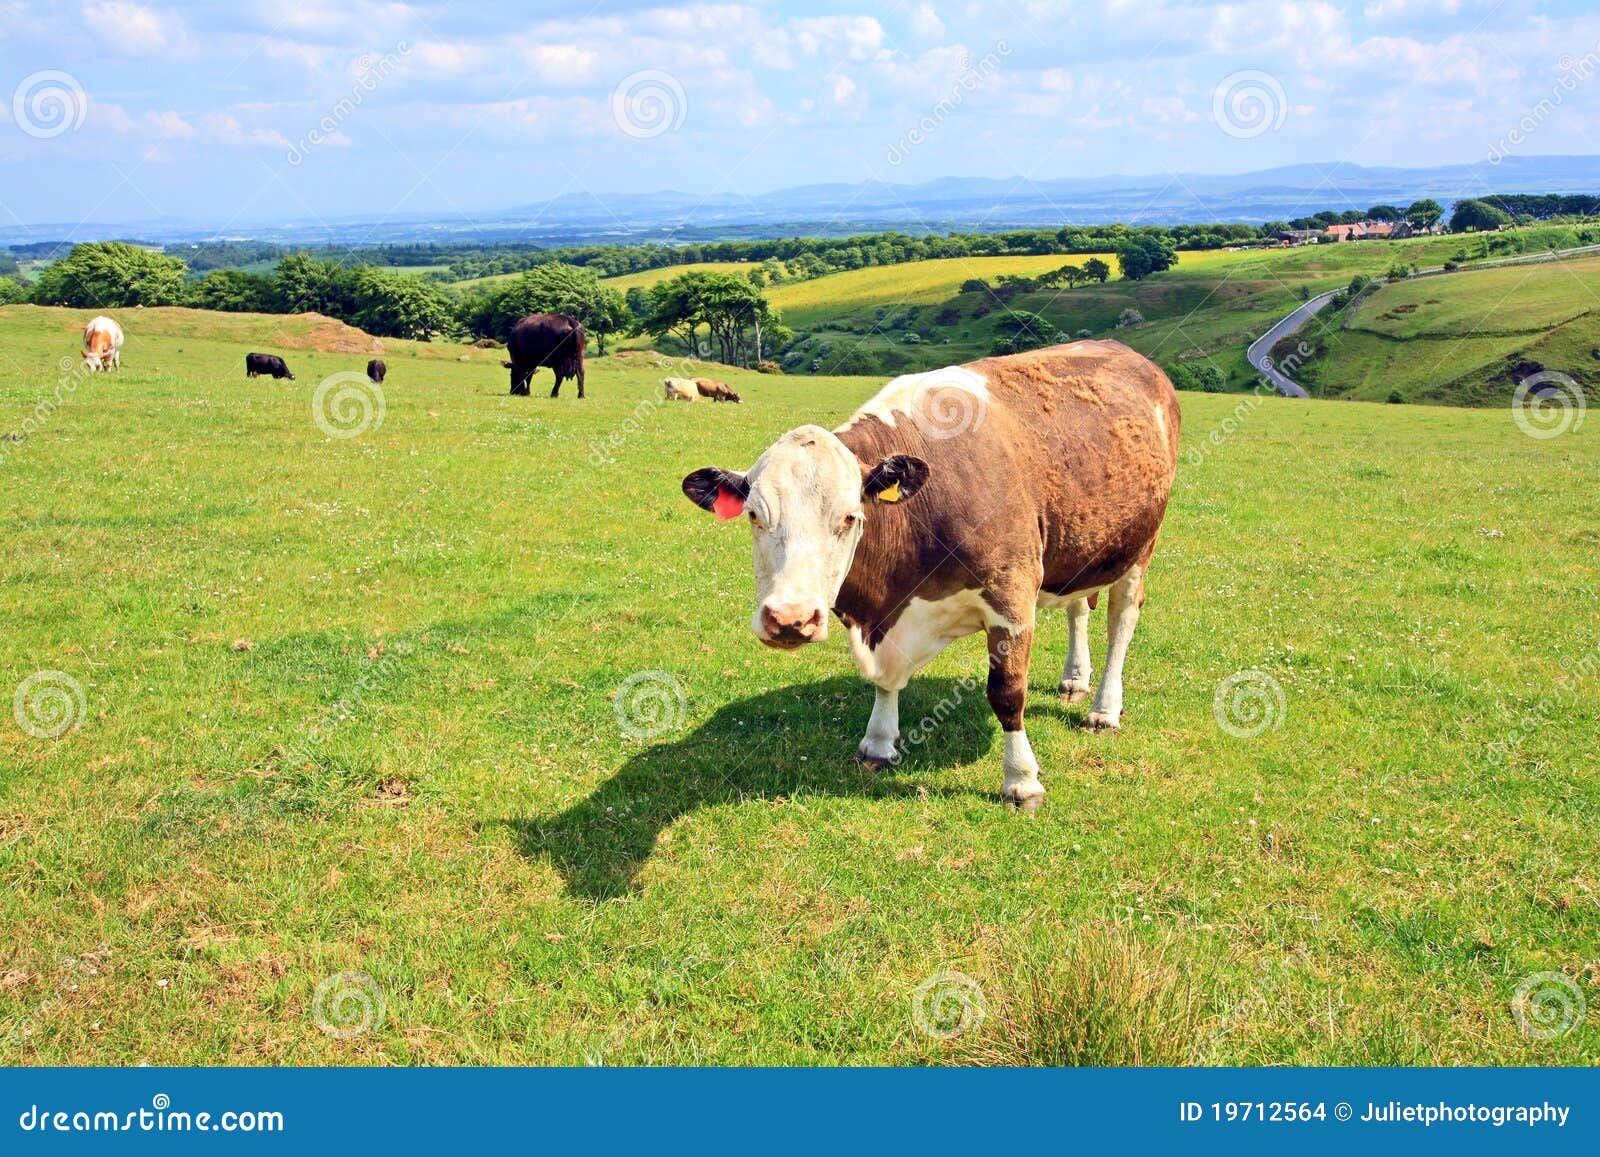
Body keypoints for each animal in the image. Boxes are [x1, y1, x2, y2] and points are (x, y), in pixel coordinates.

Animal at [681, 342, 1179, 810]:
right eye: (754, 515)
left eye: (849, 517)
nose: (790, 619)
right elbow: (886, 682)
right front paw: (879, 741)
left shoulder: (1012, 597)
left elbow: (1007, 693)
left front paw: (1021, 780)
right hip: (1082, 543)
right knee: (1078, 607)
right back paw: (1075, 680)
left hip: (1141, 546)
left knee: (1121, 622)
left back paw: (1104, 709)